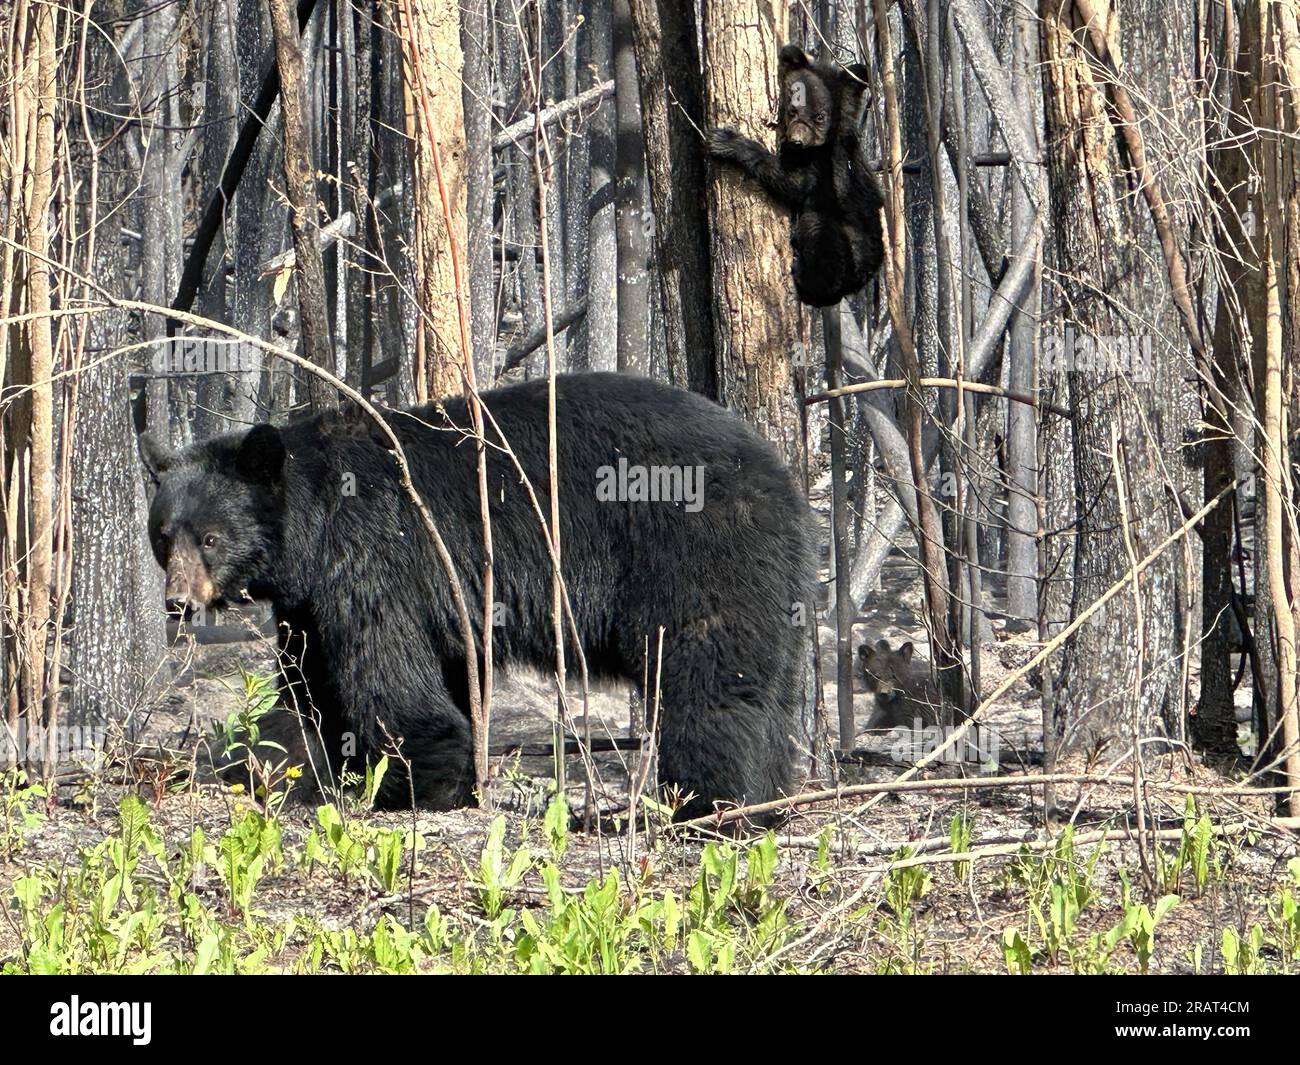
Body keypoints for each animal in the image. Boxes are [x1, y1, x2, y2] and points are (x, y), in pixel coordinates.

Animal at [139, 373, 812, 819]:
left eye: (210, 537)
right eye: (163, 535)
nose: (178, 602)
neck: (316, 522)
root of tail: (776, 473)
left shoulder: (375, 557)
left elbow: (387, 673)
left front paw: (413, 787)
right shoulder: (309, 598)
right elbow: (314, 678)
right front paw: (304, 768)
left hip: (693, 551)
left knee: (712, 675)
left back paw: (714, 803)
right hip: (770, 576)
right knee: (768, 682)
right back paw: (770, 794)